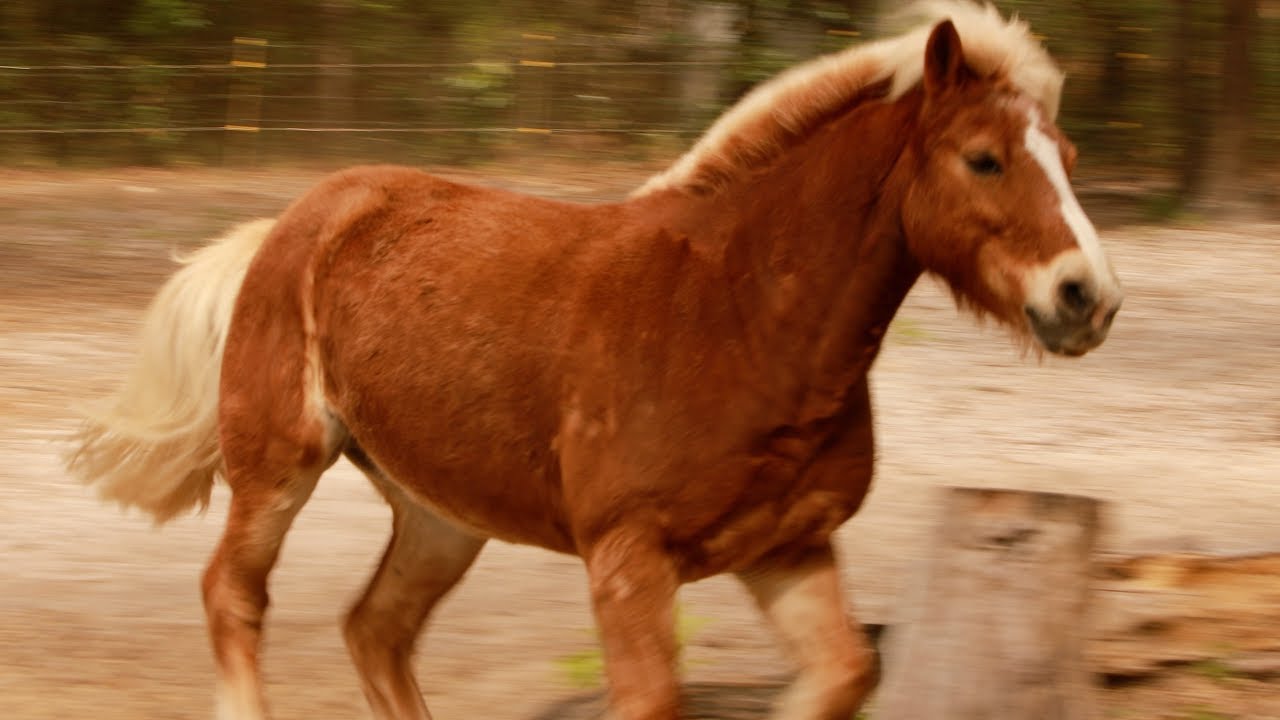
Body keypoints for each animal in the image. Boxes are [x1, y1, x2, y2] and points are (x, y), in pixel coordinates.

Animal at [66, 3, 1123, 719]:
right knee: (234, 596)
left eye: (1069, 158)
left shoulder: (787, 549)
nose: (1088, 297)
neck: (738, 316)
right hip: (279, 467)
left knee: (376, 628)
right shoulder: (629, 560)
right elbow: (653, 699)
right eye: (984, 158)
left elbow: (845, 674)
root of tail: (291, 224)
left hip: (441, 514)